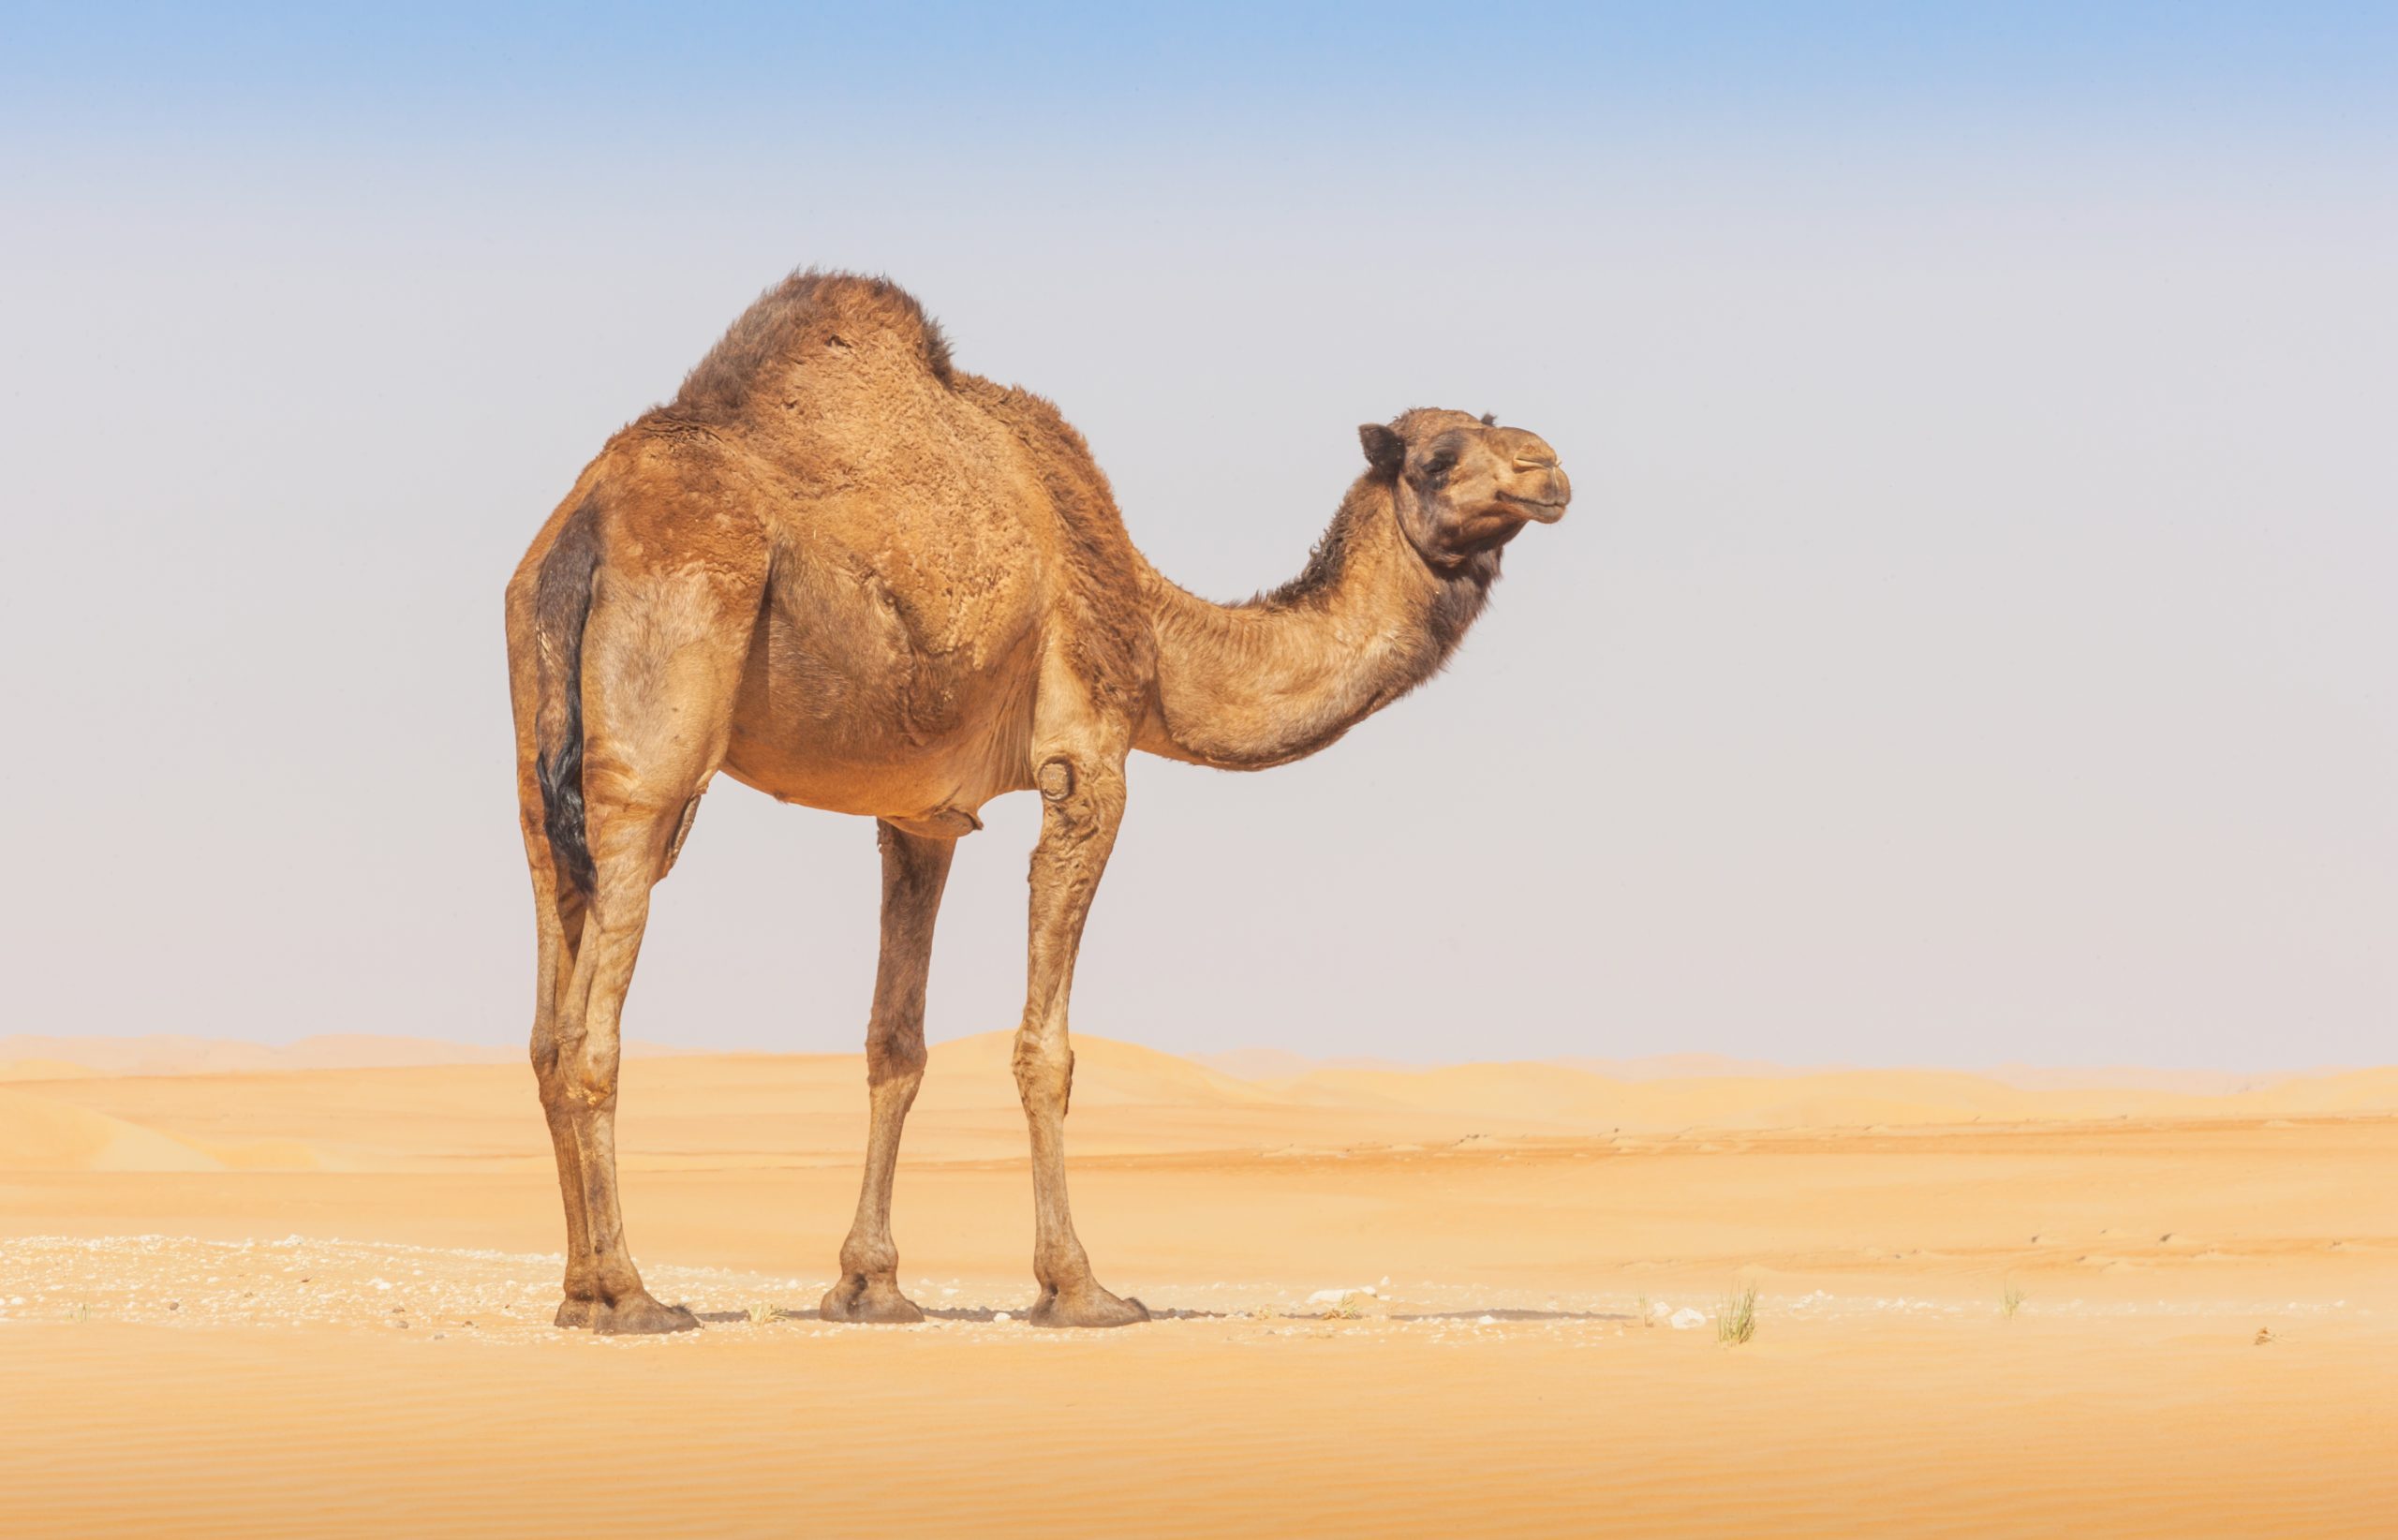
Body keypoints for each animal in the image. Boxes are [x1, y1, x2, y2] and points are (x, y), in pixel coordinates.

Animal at [504, 270, 1569, 1333]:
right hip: (663, 727)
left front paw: (871, 1287)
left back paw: (578, 1291)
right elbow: (1044, 1050)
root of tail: (585, 525)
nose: (1550, 467)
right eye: (1440, 457)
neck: (1153, 631)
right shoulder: (1088, 758)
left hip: (535, 753)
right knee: (595, 1018)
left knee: (549, 1016)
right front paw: (1079, 1287)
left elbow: (895, 1044)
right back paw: (631, 1295)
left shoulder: (918, 814)